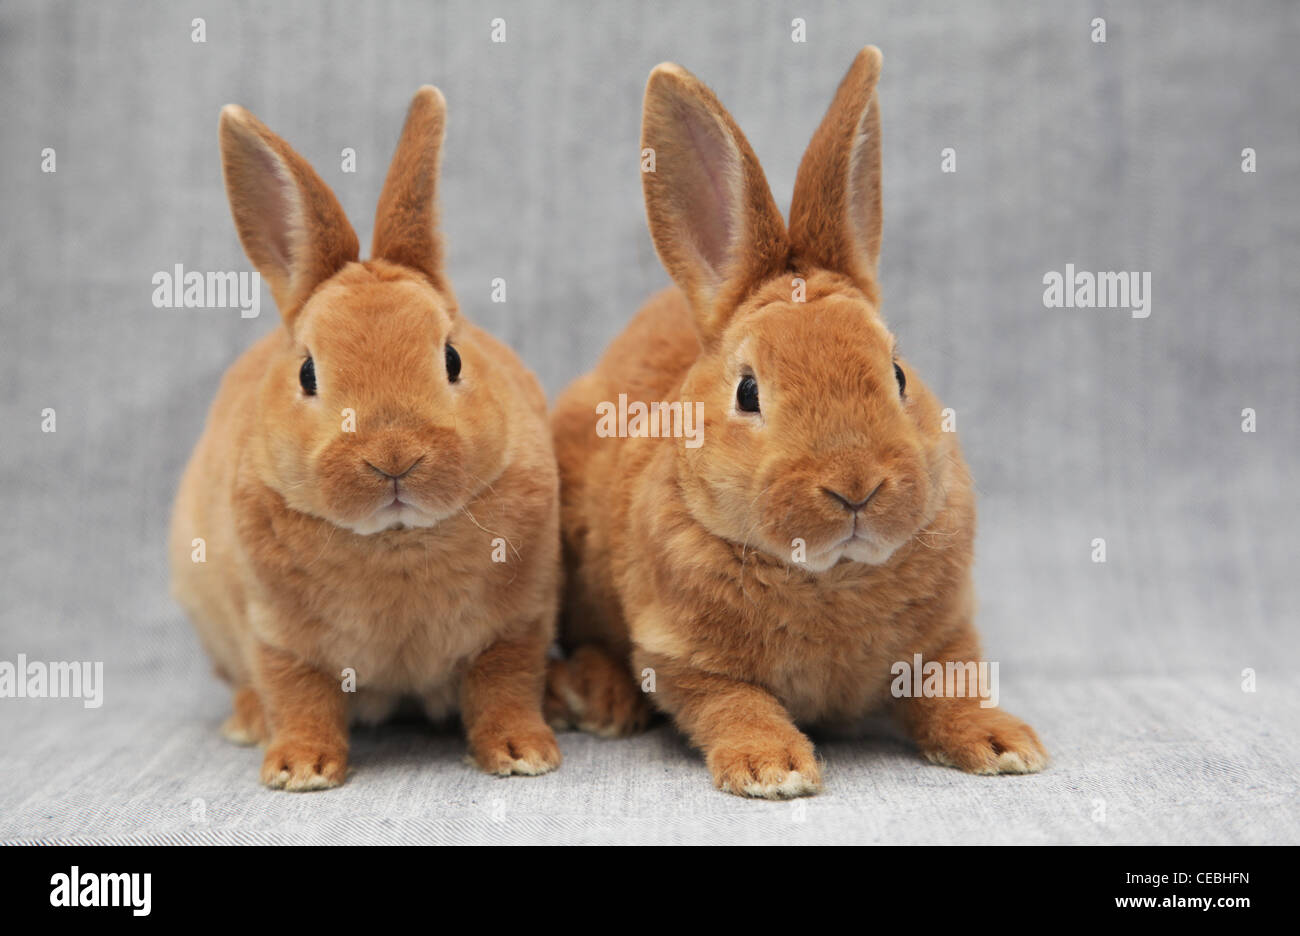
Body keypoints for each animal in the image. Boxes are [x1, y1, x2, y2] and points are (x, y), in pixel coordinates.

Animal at [169, 86, 562, 791]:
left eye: (453, 359)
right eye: (307, 373)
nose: (394, 457)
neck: (395, 543)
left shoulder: (517, 624)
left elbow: (505, 688)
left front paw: (524, 756)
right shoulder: (276, 634)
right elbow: (298, 693)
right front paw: (300, 770)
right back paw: (247, 723)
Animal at [545, 48, 1047, 798]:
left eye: (898, 373)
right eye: (749, 391)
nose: (857, 487)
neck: (831, 577)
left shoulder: (945, 636)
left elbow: (951, 686)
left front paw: (1003, 744)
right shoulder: (684, 657)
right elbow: (734, 703)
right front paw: (772, 768)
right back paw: (598, 701)